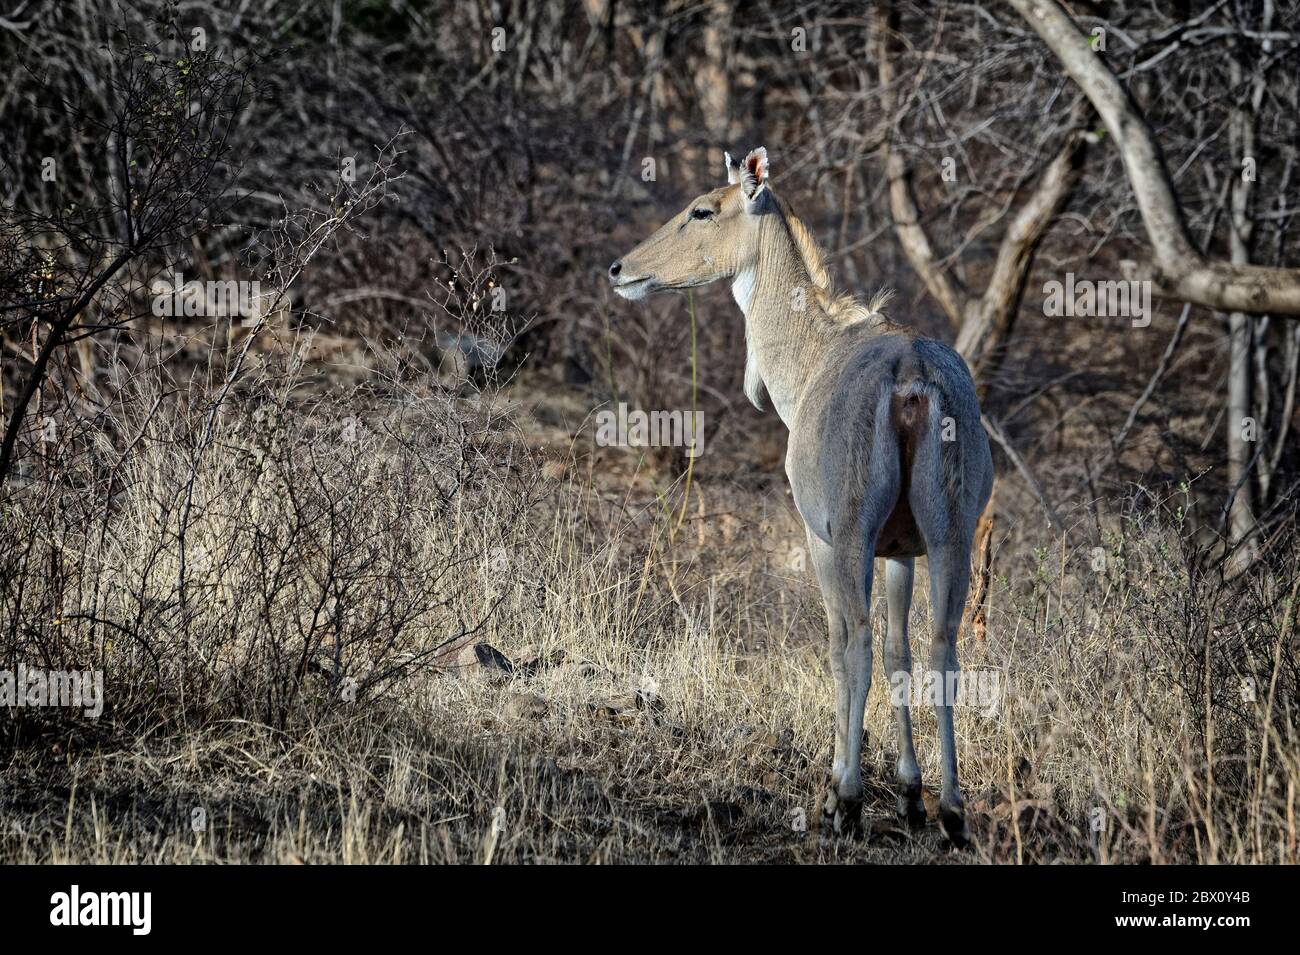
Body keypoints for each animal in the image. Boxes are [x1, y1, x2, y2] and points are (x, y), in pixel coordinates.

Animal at [608, 148, 993, 845]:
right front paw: (909, 793)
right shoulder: (902, 549)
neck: (809, 359)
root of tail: (911, 382)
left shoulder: (822, 535)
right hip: (951, 533)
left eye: (703, 209)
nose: (620, 268)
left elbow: (842, 644)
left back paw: (845, 803)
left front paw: (842, 789)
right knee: (942, 648)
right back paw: (951, 811)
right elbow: (900, 652)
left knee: (855, 642)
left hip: (850, 532)